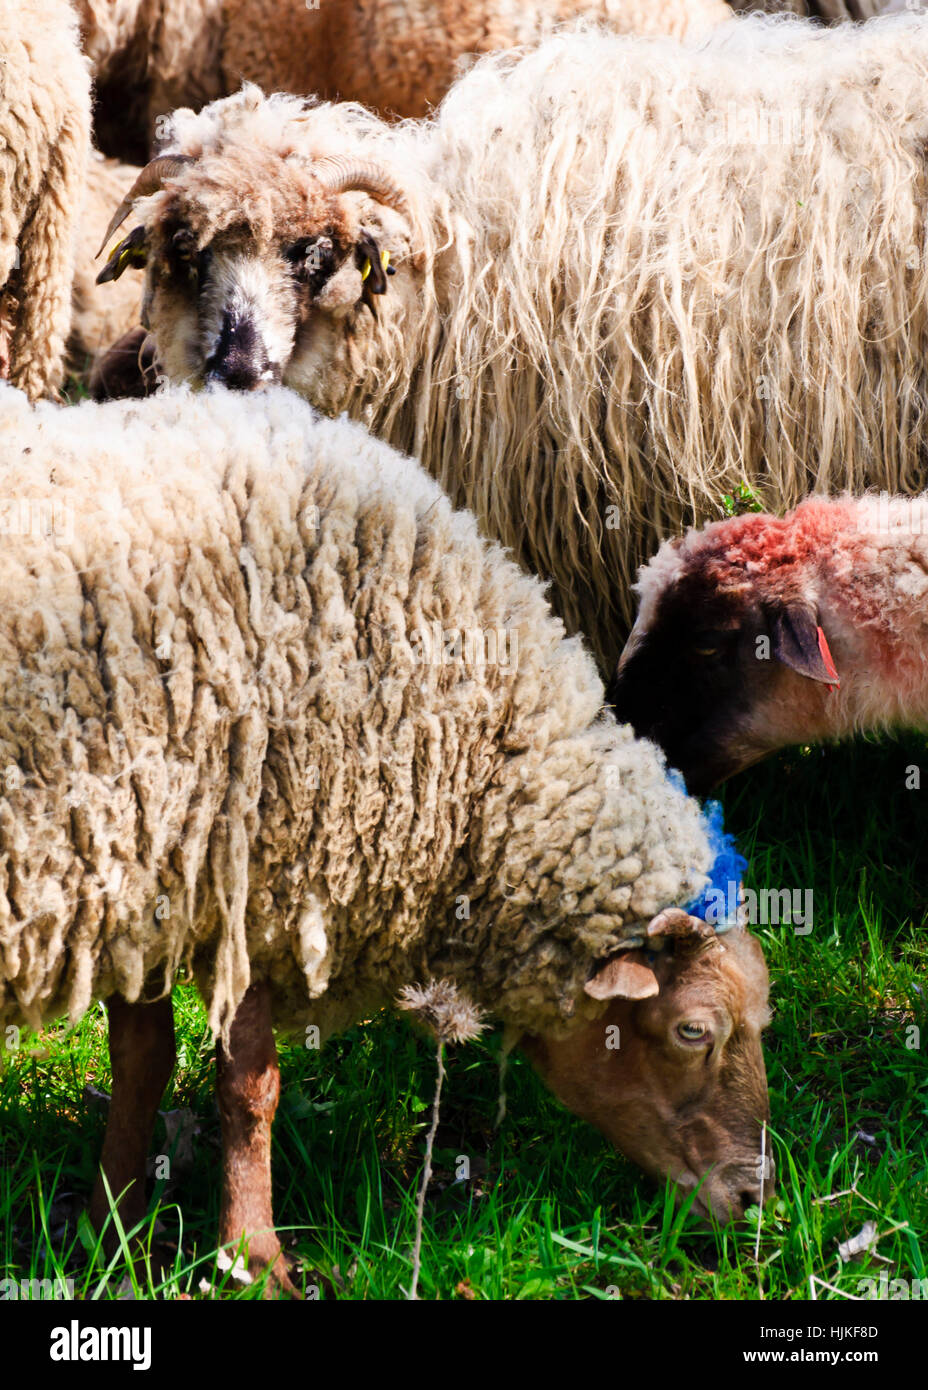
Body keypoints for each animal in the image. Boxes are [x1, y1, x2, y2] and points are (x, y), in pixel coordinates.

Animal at [0, 380, 771, 1292]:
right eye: (694, 1031)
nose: (756, 1200)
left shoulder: (151, 870)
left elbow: (142, 1062)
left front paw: (106, 1230)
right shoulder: (264, 873)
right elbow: (249, 1087)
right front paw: (254, 1259)